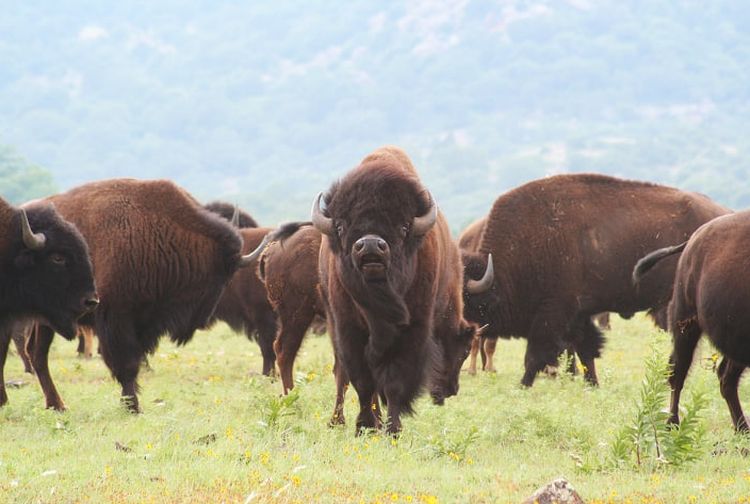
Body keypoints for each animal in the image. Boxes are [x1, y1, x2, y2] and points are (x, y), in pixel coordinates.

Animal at [32, 179, 257, 412]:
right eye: (221, 278)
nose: (203, 321)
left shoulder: (144, 322)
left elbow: (136, 361)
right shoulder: (116, 319)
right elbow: (127, 364)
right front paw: (133, 406)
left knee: (37, 355)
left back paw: (55, 404)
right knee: (38, 356)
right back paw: (56, 404)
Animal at [313, 146, 473, 435]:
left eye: (403, 226)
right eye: (341, 226)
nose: (370, 245)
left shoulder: (412, 331)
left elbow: (394, 383)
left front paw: (392, 429)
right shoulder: (348, 330)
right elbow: (363, 382)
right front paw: (364, 426)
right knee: (343, 374)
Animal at [462, 174, 729, 387]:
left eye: (465, 300)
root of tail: (722, 213)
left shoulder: (552, 313)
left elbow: (536, 355)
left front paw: (523, 385)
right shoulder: (578, 316)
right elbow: (585, 351)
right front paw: (592, 383)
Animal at [633, 211, 750, 432]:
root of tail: (693, 240)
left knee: (726, 378)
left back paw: (742, 429)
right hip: (685, 325)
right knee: (677, 373)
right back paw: (672, 424)